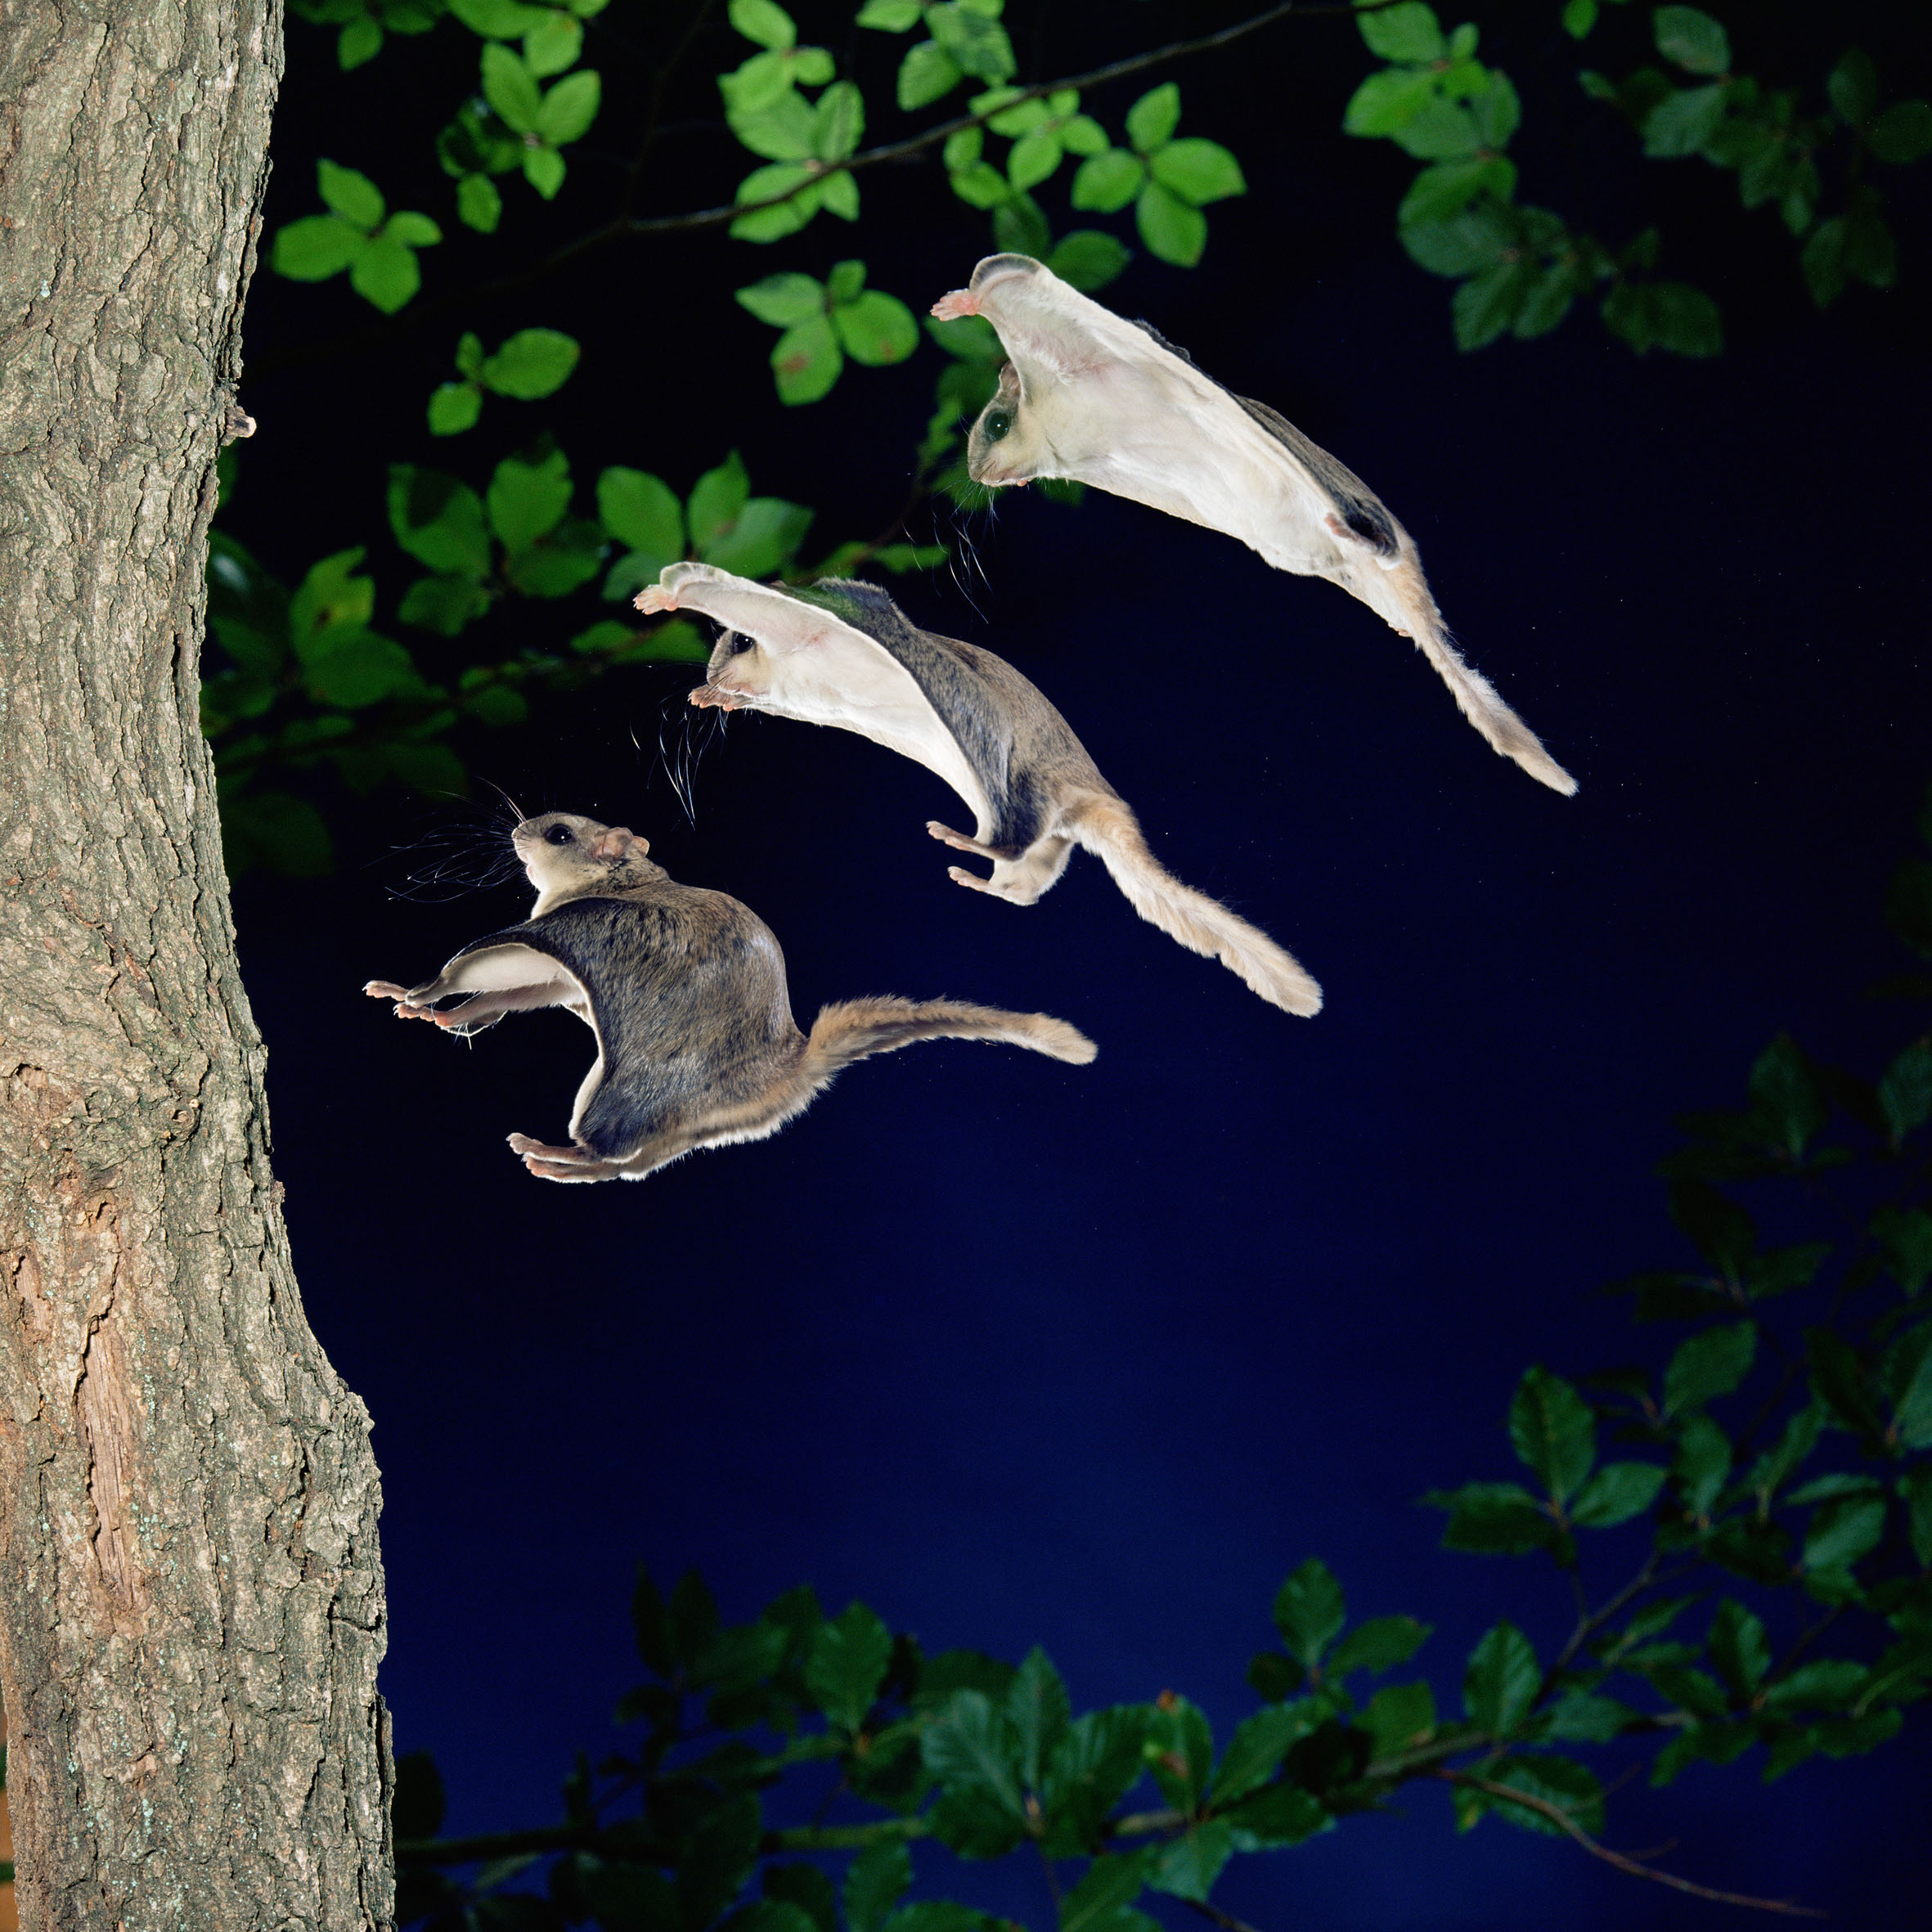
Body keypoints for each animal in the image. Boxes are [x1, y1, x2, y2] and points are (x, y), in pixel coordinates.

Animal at [363, 812, 1096, 1183]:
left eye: (559, 833)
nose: (517, 831)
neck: (626, 880)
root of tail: (786, 1066)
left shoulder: (566, 930)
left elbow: (474, 968)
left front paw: (417, 991)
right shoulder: (558, 978)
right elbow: (511, 995)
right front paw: (437, 1012)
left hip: (619, 1095)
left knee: (611, 1154)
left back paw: (552, 1153)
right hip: (678, 1124)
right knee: (633, 1167)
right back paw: (558, 1166)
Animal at [637, 562, 1323, 1018]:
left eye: (737, 639)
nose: (713, 674)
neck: (793, 668)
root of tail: (1094, 796)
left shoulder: (816, 623)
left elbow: (730, 591)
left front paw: (668, 595)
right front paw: (713, 696)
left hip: (1009, 779)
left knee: (1011, 841)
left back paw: (962, 842)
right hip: (1044, 832)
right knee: (1025, 884)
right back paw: (978, 878)